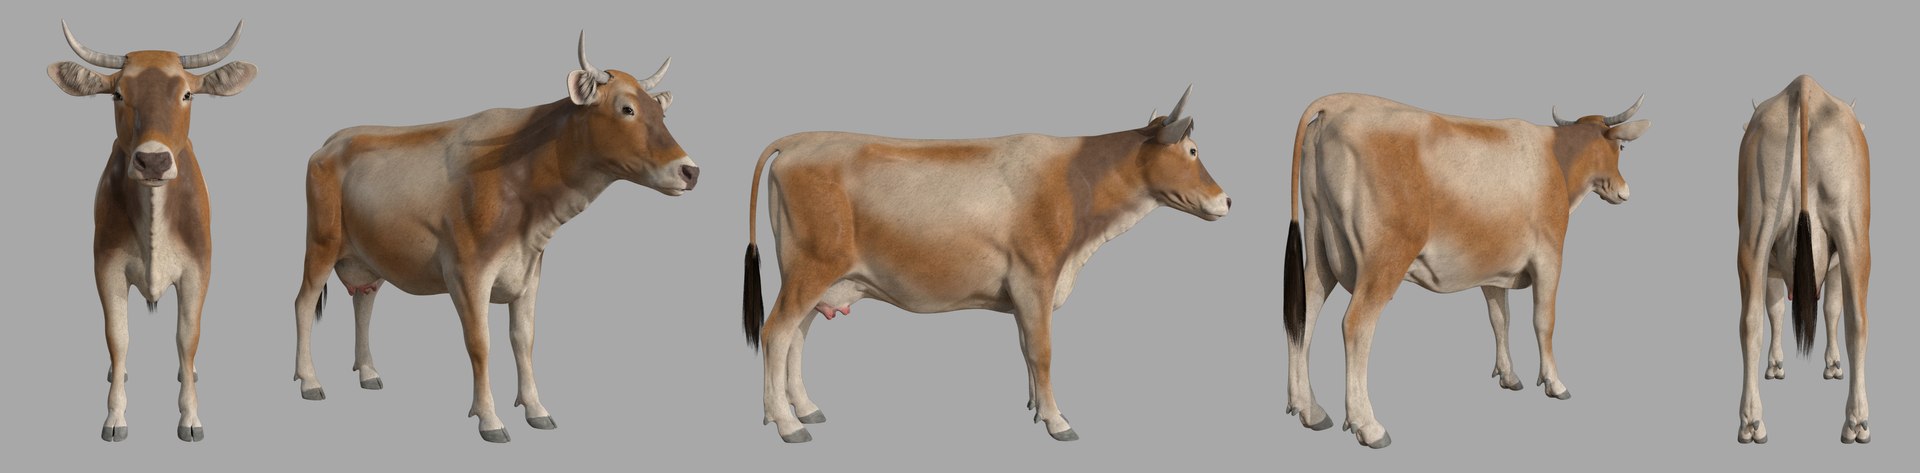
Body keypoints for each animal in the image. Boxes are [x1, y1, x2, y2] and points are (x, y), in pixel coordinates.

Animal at [47, 21, 257, 443]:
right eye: (118, 94)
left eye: (187, 94)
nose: (154, 160)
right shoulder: (106, 268)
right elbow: (117, 336)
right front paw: (115, 416)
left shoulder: (198, 270)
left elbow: (187, 337)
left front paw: (190, 416)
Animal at [290, 33, 695, 443]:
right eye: (626, 108)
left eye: (661, 114)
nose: (690, 171)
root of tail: (334, 140)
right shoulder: (467, 274)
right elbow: (479, 344)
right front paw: (489, 419)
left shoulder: (529, 271)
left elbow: (523, 339)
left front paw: (536, 409)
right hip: (321, 243)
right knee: (304, 303)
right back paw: (310, 381)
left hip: (367, 257)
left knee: (364, 301)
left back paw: (369, 372)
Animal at [739, 87, 1230, 443]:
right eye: (1192, 151)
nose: (1226, 200)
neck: (1077, 183)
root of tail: (799, 140)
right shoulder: (1036, 278)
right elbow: (1042, 351)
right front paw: (1058, 421)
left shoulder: (1021, 292)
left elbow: (1026, 348)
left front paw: (1036, 409)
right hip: (809, 269)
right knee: (776, 333)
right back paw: (787, 424)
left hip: (815, 276)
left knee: (797, 337)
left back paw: (806, 409)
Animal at [1281, 93, 1651, 448]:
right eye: (1621, 147)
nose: (1624, 191)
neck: (1556, 159)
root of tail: (1338, 103)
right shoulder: (1550, 256)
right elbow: (1544, 321)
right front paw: (1555, 383)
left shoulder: (1495, 270)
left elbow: (1500, 319)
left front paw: (1509, 376)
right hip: (1383, 261)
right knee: (1355, 325)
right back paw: (1368, 426)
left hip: (1318, 250)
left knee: (1304, 315)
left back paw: (1310, 410)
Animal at [1734, 75, 1870, 444]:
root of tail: (1804, 87)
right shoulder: (1834, 268)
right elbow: (1832, 308)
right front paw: (1831, 364)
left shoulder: (1772, 268)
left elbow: (1778, 309)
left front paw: (1778, 365)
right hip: (1855, 236)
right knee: (1857, 321)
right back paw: (1857, 422)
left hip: (1755, 231)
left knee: (1750, 321)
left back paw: (1750, 422)